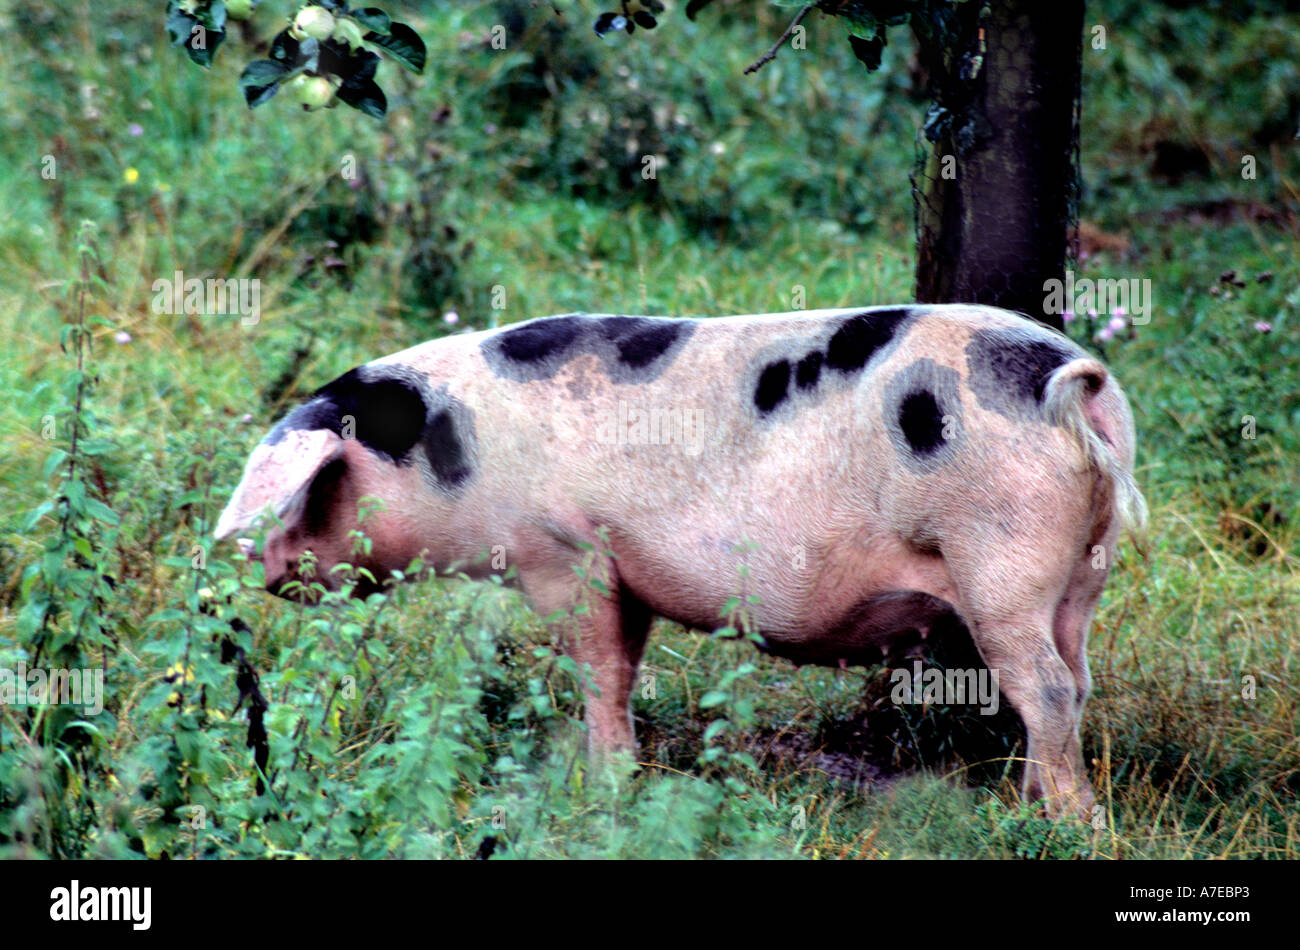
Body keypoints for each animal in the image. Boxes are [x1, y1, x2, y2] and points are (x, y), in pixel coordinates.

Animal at [215, 304, 1146, 817]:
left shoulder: (565, 552)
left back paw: (1066, 825)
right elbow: (626, 663)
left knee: (1045, 686)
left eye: (312, 483)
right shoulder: (627, 573)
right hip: (1083, 569)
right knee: (1076, 678)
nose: (262, 567)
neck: (455, 455)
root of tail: (1074, 379)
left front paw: (602, 786)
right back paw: (1029, 803)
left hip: (1000, 557)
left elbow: (596, 670)